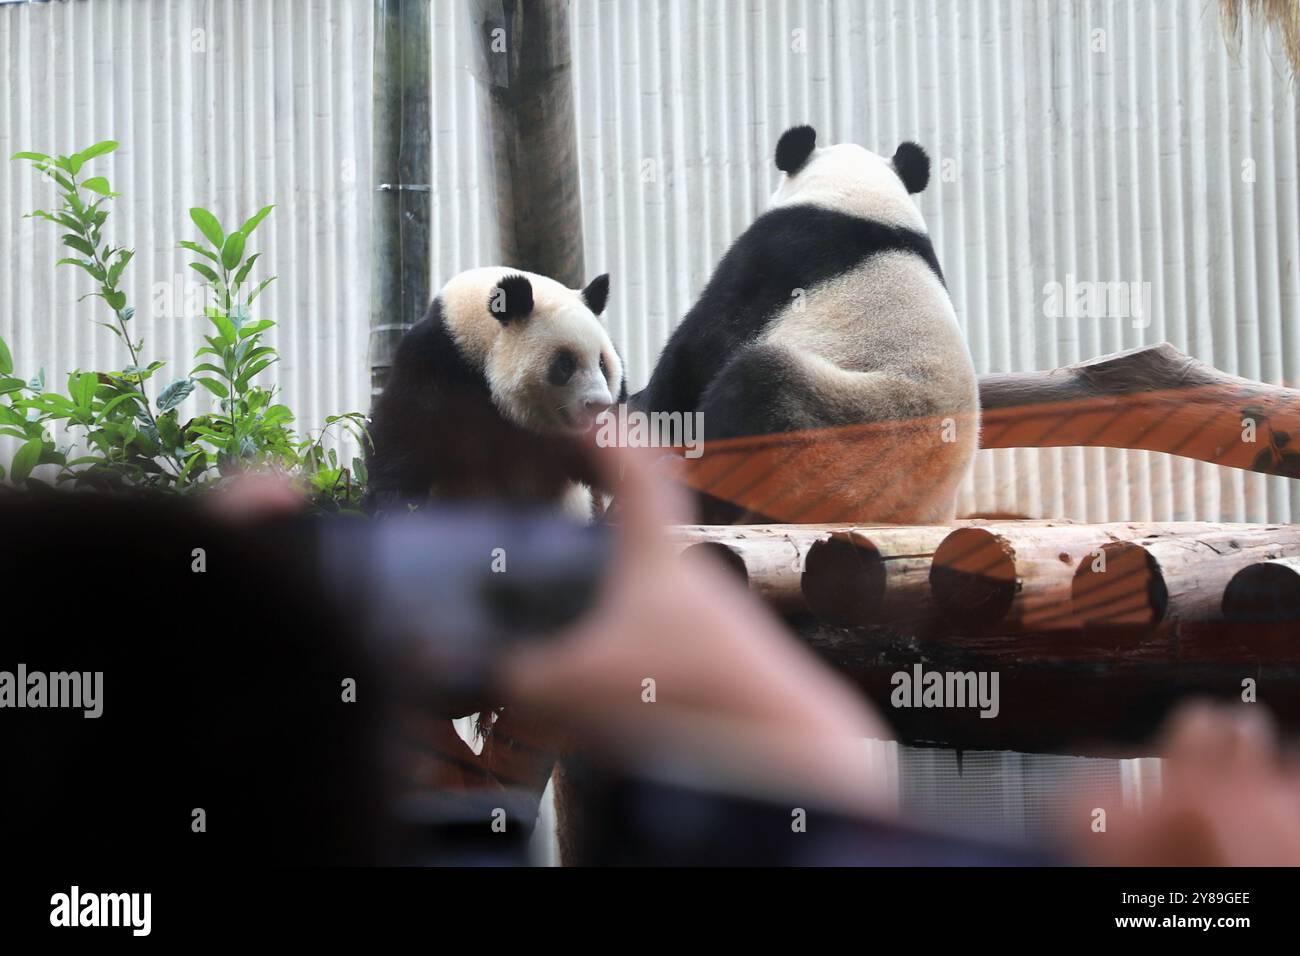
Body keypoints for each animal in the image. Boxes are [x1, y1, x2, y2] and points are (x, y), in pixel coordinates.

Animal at [632, 125, 979, 525]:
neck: (861, 196)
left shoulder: (776, 252)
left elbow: (704, 341)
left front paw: (645, 407)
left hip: (844, 430)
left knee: (757, 388)